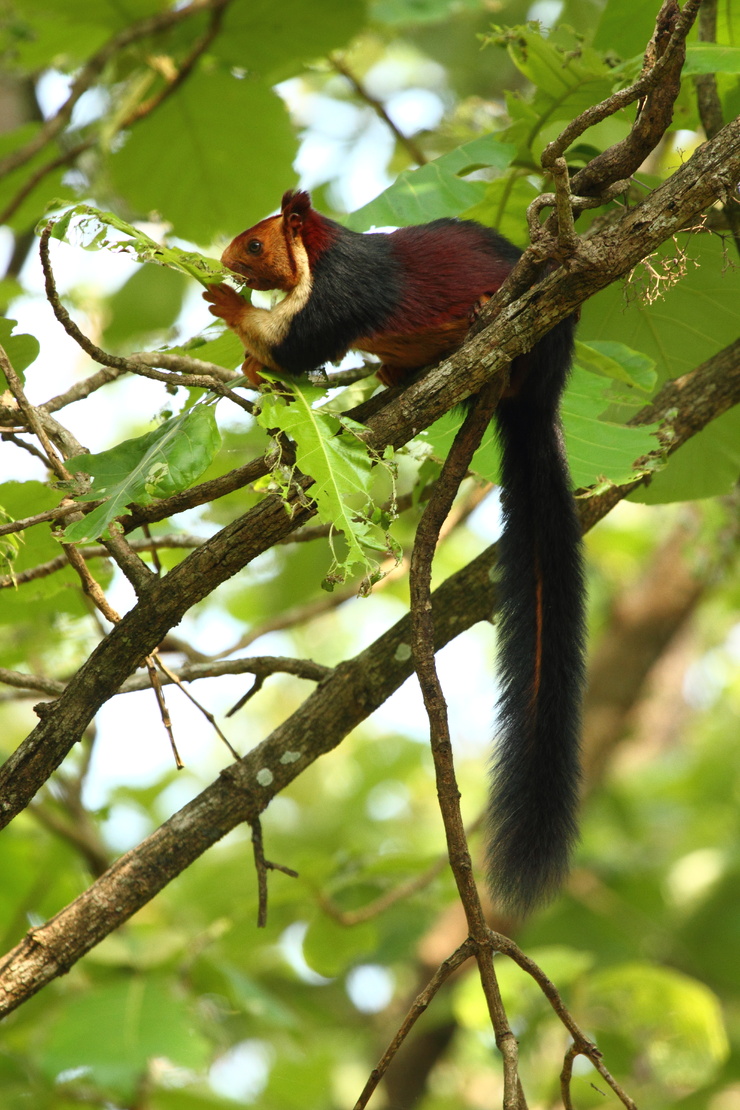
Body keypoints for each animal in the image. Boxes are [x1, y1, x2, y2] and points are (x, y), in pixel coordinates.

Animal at [204, 189, 585, 915]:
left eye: (257, 245)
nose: (225, 261)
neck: (317, 255)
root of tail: (547, 392)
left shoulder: (343, 294)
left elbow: (300, 345)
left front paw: (229, 310)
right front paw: (250, 364)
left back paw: (480, 316)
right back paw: (392, 372)